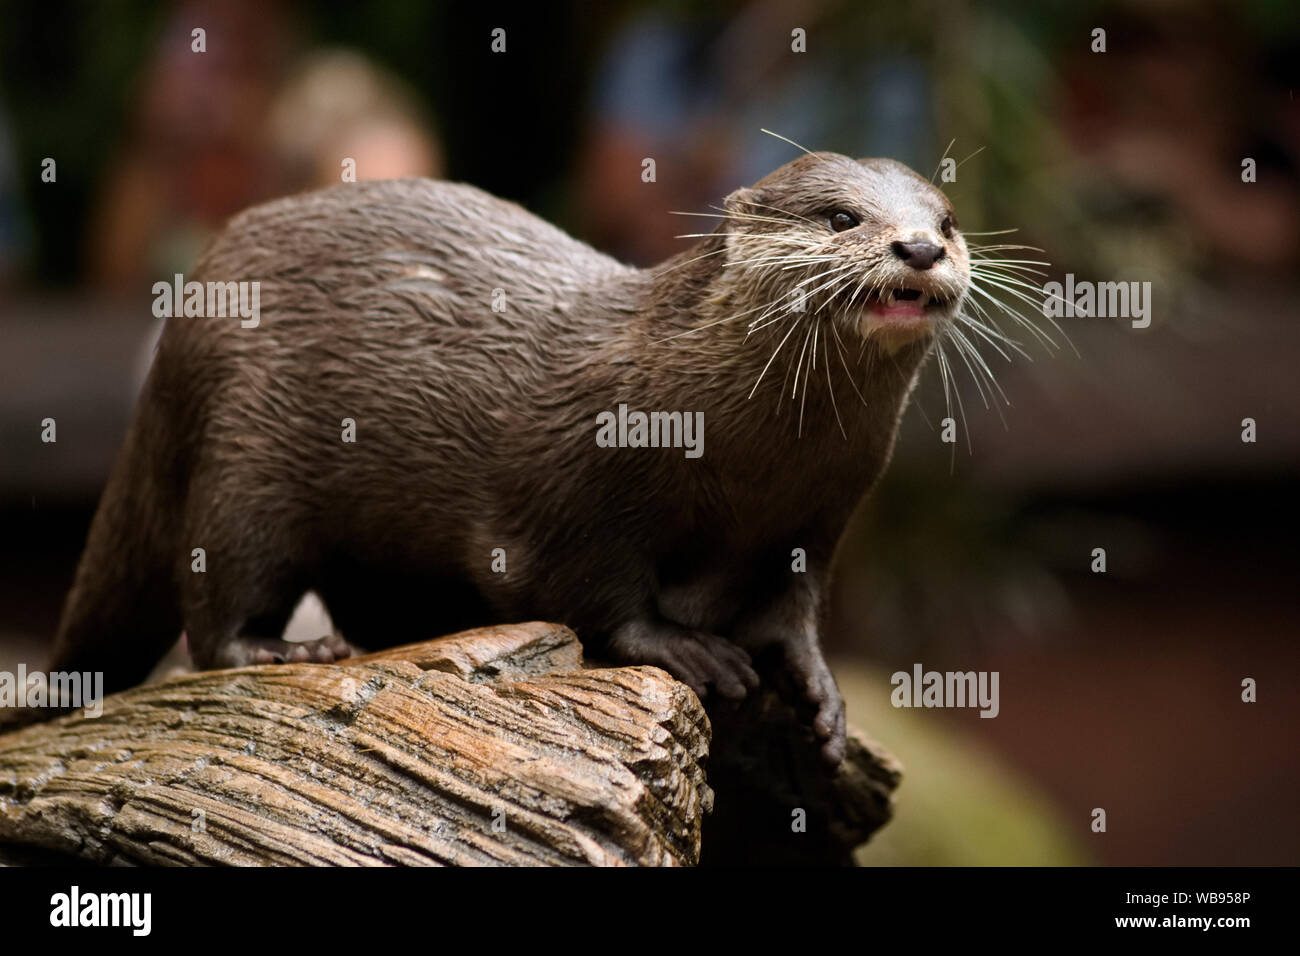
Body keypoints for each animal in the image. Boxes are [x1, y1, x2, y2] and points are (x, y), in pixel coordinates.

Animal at [46, 151, 973, 766]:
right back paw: (283, 653)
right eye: (842, 218)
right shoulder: (571, 479)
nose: (920, 249)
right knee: (217, 601)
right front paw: (688, 648)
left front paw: (818, 691)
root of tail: (179, 327)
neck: (753, 466)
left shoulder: (817, 518)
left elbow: (791, 613)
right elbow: (585, 588)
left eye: (947, 220)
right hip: (244, 454)